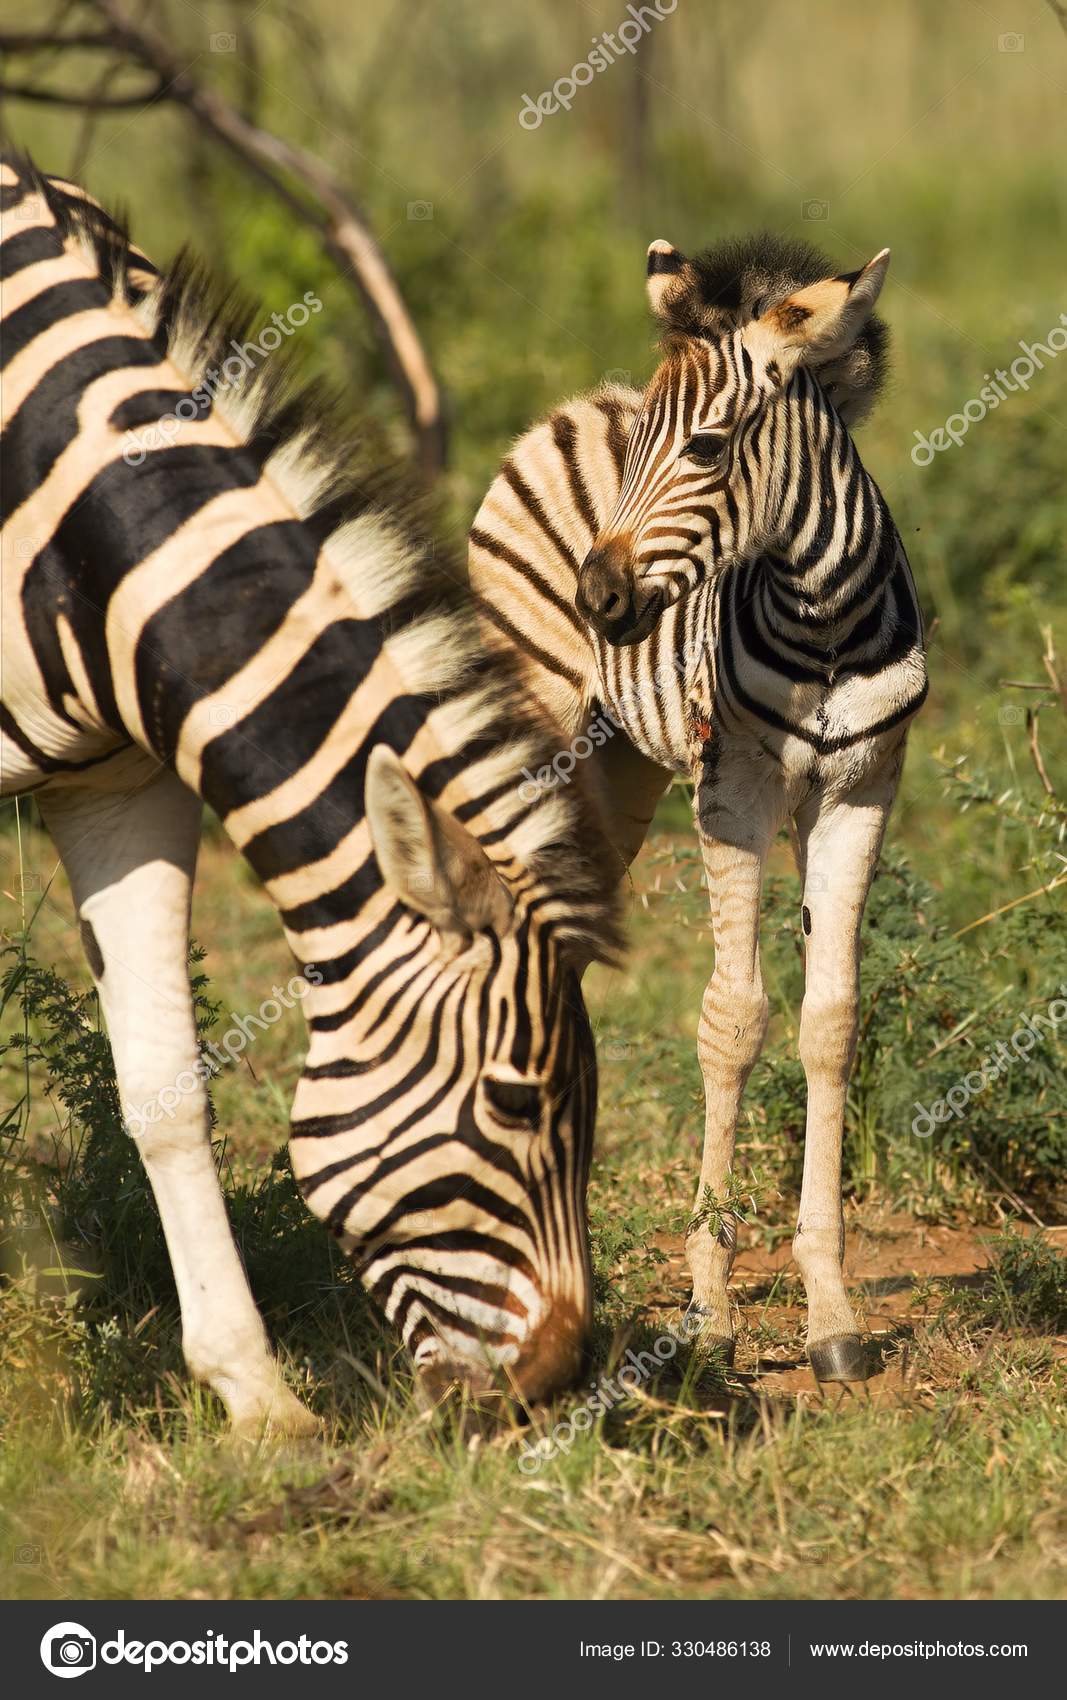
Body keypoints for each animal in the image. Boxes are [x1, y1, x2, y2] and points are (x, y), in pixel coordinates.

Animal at [470, 232, 927, 1381]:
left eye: (711, 447)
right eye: (646, 446)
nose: (597, 602)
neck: (823, 624)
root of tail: (588, 397)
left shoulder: (861, 789)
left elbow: (828, 1020)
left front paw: (830, 1310)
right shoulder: (735, 790)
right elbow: (731, 1021)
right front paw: (711, 1314)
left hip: (618, 777)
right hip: (532, 733)